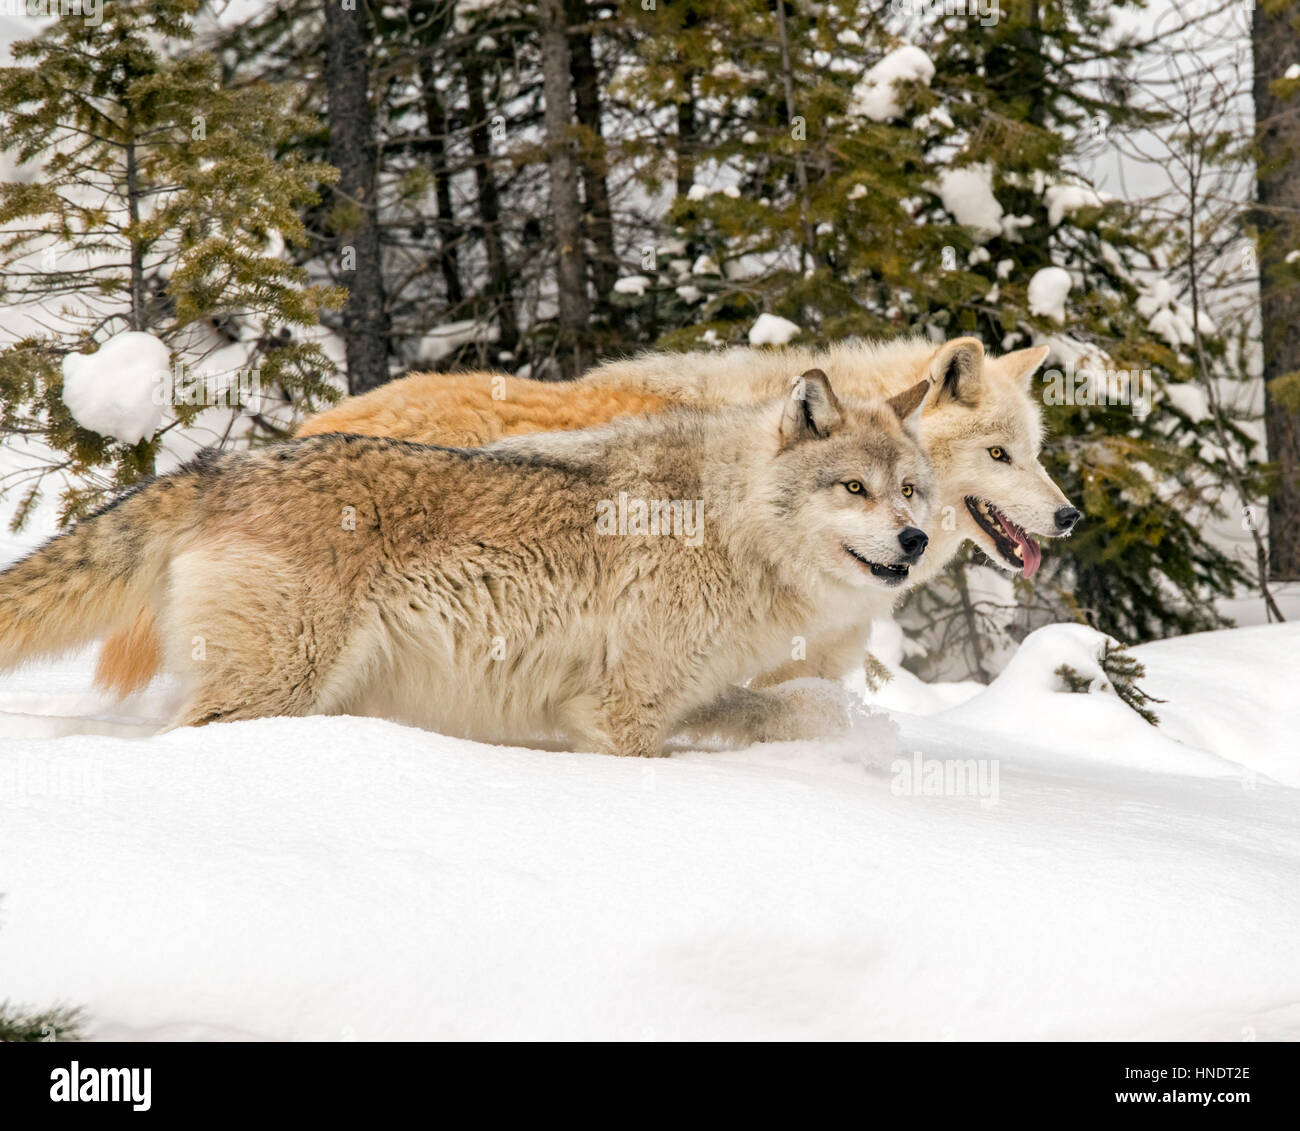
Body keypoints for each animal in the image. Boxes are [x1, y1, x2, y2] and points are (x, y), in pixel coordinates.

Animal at [0, 373, 933, 754]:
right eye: (855, 487)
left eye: (913, 491)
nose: (916, 541)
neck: (726, 520)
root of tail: (220, 468)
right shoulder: (617, 711)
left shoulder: (673, 691)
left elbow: (786, 706)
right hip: (277, 687)